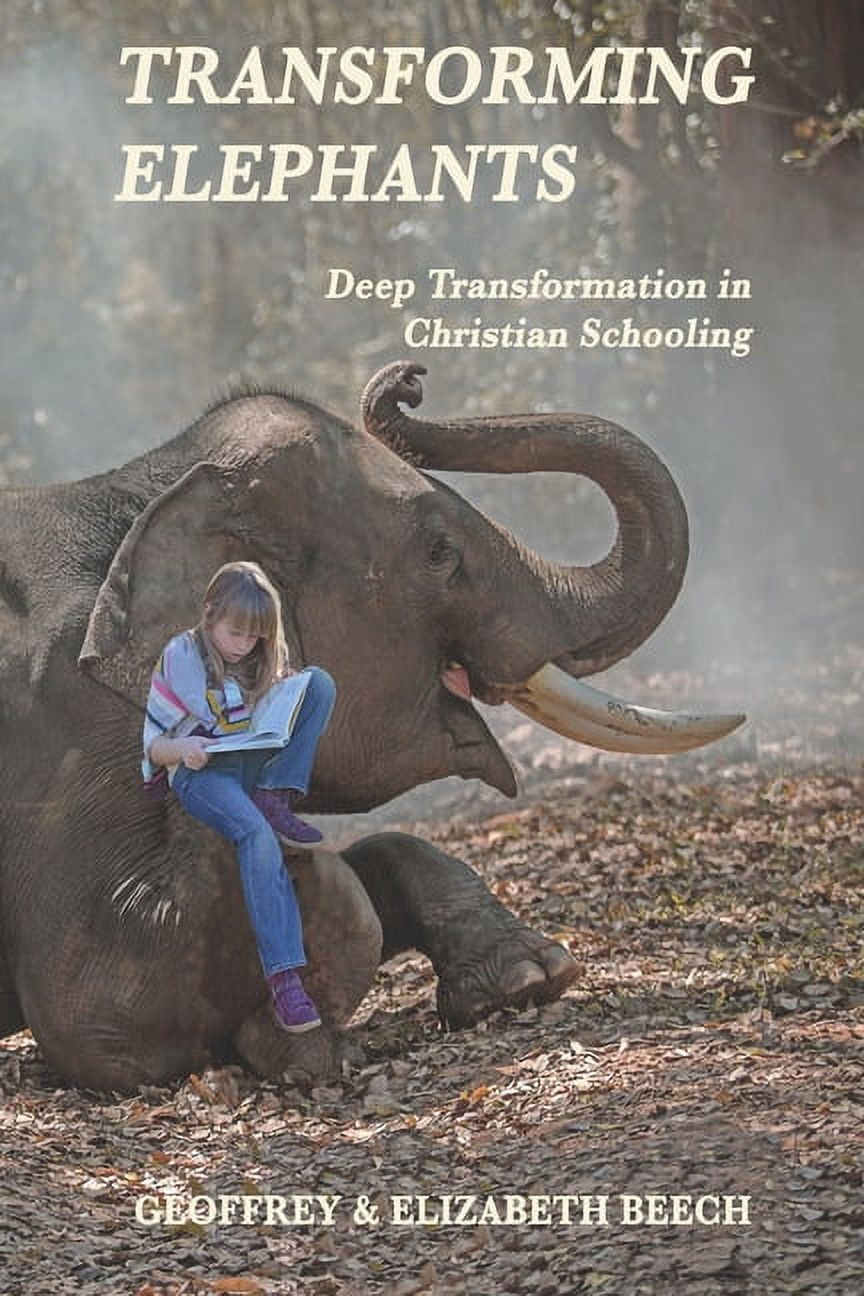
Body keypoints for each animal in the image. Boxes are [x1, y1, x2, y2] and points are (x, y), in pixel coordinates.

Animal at [0, 360, 742, 1092]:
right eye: (440, 552)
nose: (408, 381)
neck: (139, 491)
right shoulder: (78, 722)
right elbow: (92, 1010)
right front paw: (299, 1041)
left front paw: (529, 978)